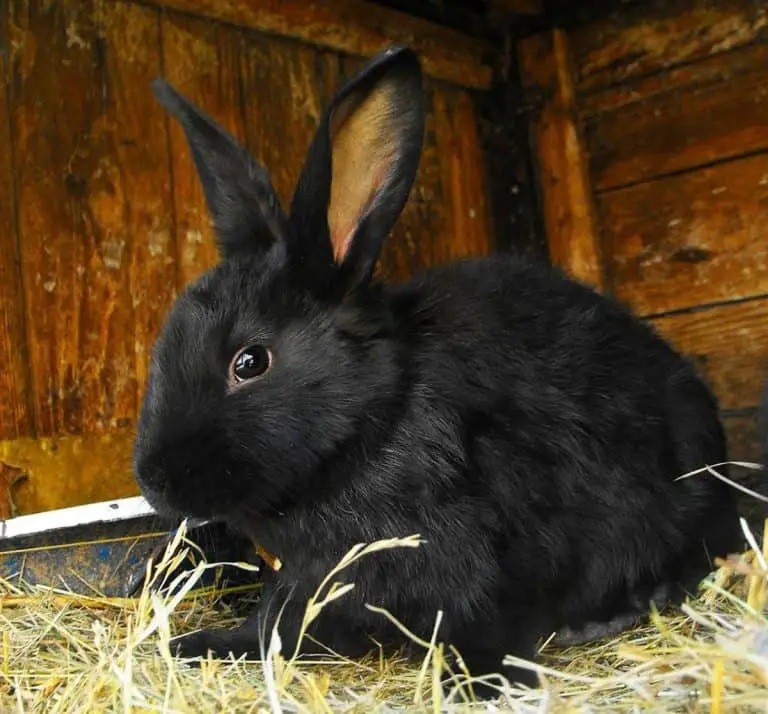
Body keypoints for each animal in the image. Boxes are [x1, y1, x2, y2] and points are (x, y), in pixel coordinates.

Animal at [133, 46, 743, 697]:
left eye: (250, 362)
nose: (154, 481)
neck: (377, 420)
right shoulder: (311, 578)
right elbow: (277, 624)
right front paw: (200, 645)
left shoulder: (472, 560)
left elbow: (478, 625)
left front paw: (478, 685)